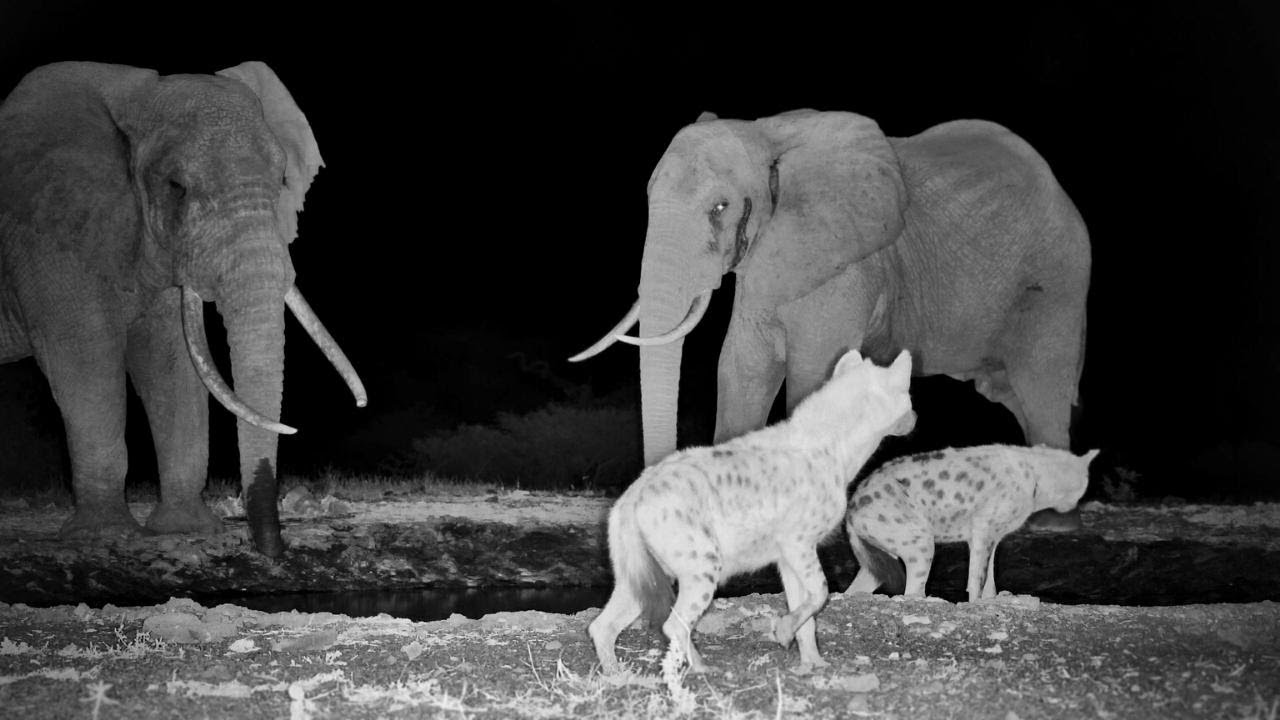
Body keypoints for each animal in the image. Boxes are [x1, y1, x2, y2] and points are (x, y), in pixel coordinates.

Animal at [0, 61, 366, 557]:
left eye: (282, 181)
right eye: (177, 187)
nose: (272, 552)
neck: (133, 94)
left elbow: (171, 359)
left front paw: (185, 529)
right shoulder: (47, 229)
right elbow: (86, 357)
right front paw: (105, 535)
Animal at [573, 110, 1090, 515]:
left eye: (720, 207)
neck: (767, 134)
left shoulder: (848, 268)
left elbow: (810, 373)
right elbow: (741, 368)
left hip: (1057, 284)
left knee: (1043, 391)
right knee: (1015, 397)